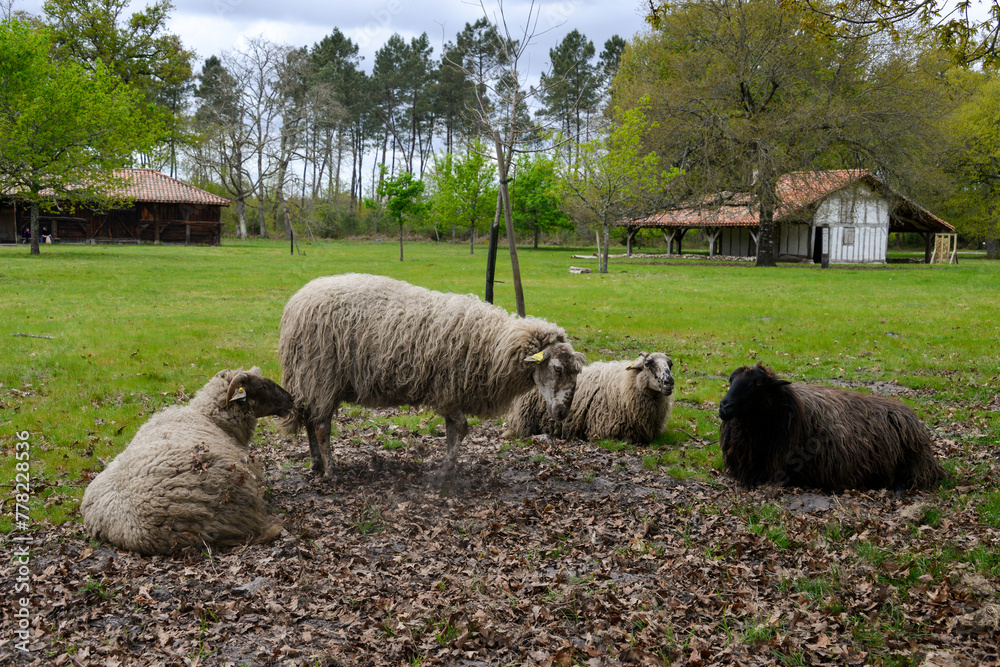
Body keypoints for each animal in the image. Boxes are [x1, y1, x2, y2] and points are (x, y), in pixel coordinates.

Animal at [278, 273, 586, 478]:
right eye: (557, 368)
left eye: (576, 372)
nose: (562, 413)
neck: (494, 343)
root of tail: (295, 303)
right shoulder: (448, 390)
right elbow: (462, 428)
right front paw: (445, 470)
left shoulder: (450, 392)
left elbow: (453, 430)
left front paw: (447, 465)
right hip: (321, 375)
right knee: (321, 426)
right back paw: (331, 472)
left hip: (310, 379)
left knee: (309, 421)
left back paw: (316, 465)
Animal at [504, 352, 675, 444]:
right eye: (649, 363)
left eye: (670, 364)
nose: (669, 382)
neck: (624, 384)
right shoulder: (605, 431)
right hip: (524, 419)